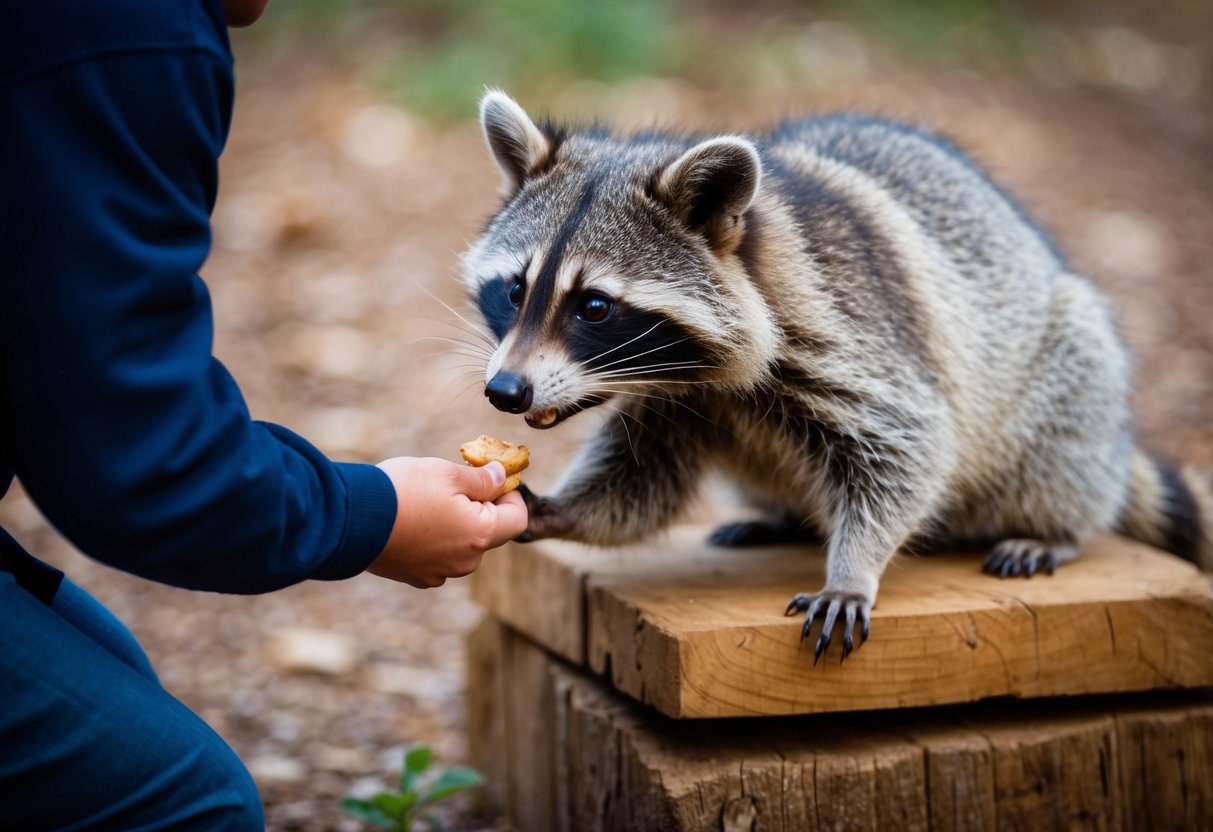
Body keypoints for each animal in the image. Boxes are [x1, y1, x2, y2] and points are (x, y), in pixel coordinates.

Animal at [461, 90, 1213, 662]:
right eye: (514, 291)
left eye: (593, 306)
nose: (505, 392)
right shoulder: (676, 402)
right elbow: (642, 481)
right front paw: (558, 507)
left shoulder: (856, 334)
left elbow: (910, 446)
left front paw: (855, 567)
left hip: (1069, 371)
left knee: (1070, 393)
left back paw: (1055, 527)